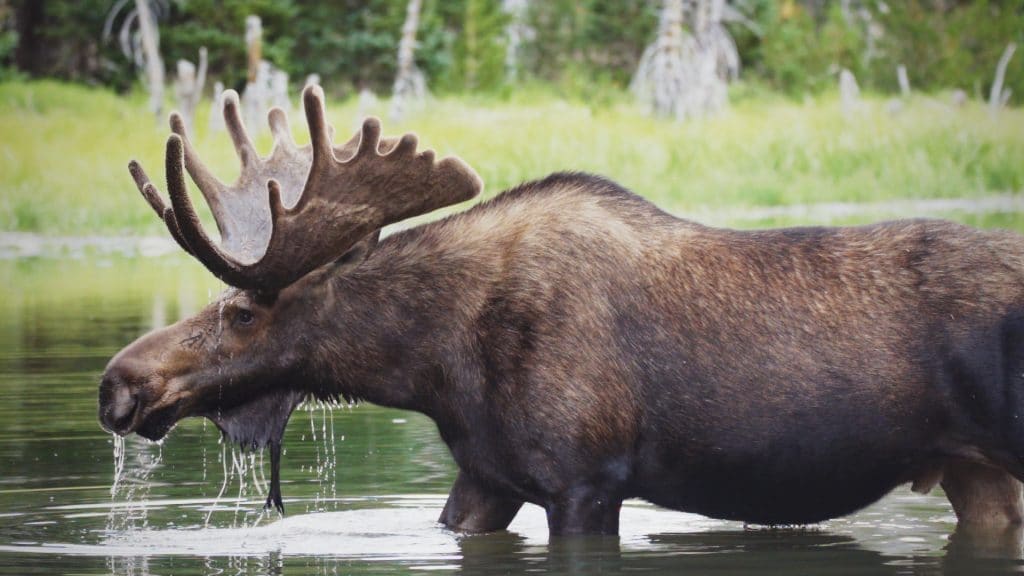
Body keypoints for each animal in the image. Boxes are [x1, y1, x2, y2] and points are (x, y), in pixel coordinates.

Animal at [100, 85, 1024, 537]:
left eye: (244, 314)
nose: (117, 383)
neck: (431, 367)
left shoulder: (587, 479)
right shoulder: (486, 476)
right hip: (974, 470)